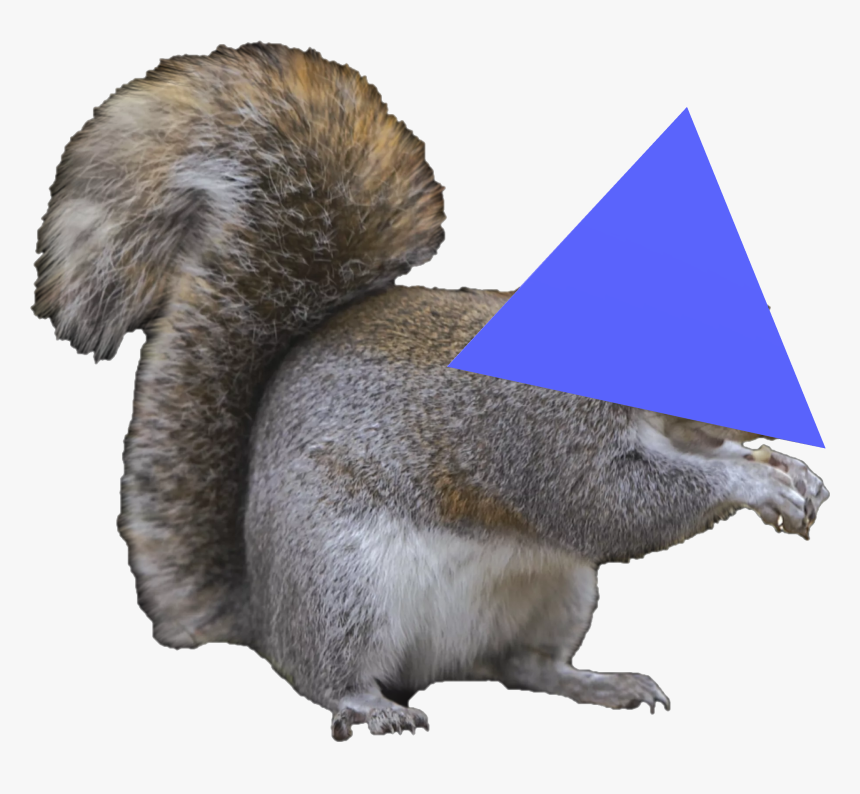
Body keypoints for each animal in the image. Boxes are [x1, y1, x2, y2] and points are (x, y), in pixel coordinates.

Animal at [34, 43, 830, 741]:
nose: (784, 416)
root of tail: (261, 613)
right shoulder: (535, 430)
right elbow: (608, 504)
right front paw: (754, 481)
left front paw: (788, 470)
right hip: (341, 579)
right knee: (327, 672)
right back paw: (370, 706)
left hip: (562, 592)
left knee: (523, 665)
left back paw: (601, 683)